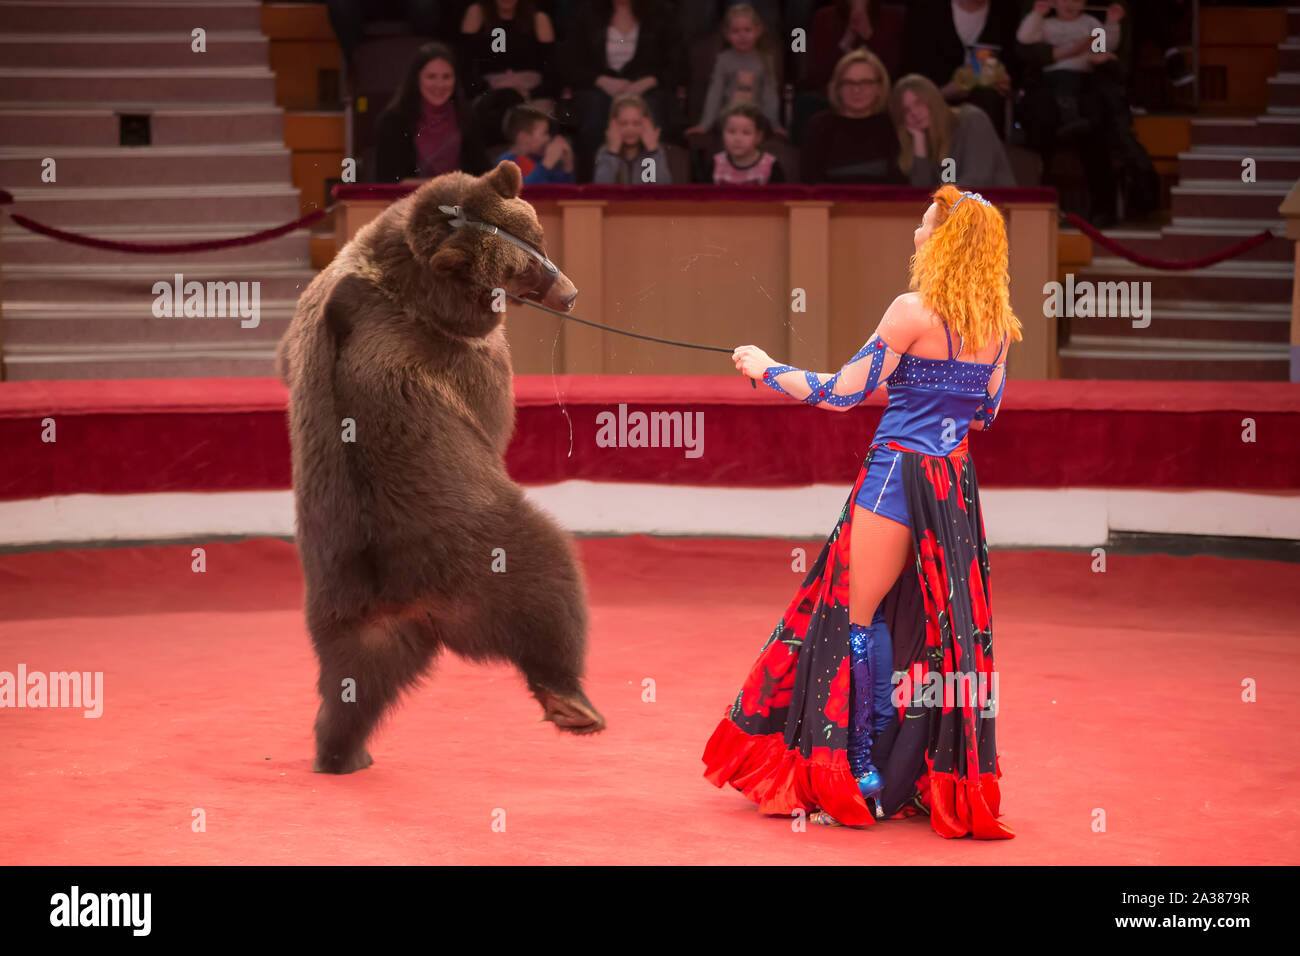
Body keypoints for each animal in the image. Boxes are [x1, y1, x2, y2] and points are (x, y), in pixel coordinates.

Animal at [276, 160, 606, 774]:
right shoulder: (450, 357)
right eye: (521, 263)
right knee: (549, 586)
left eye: (537, 239)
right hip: (485, 552)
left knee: (351, 686)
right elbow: (493, 399)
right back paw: (571, 700)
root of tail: (410, 599)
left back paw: (342, 753)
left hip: (346, 614)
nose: (570, 293)